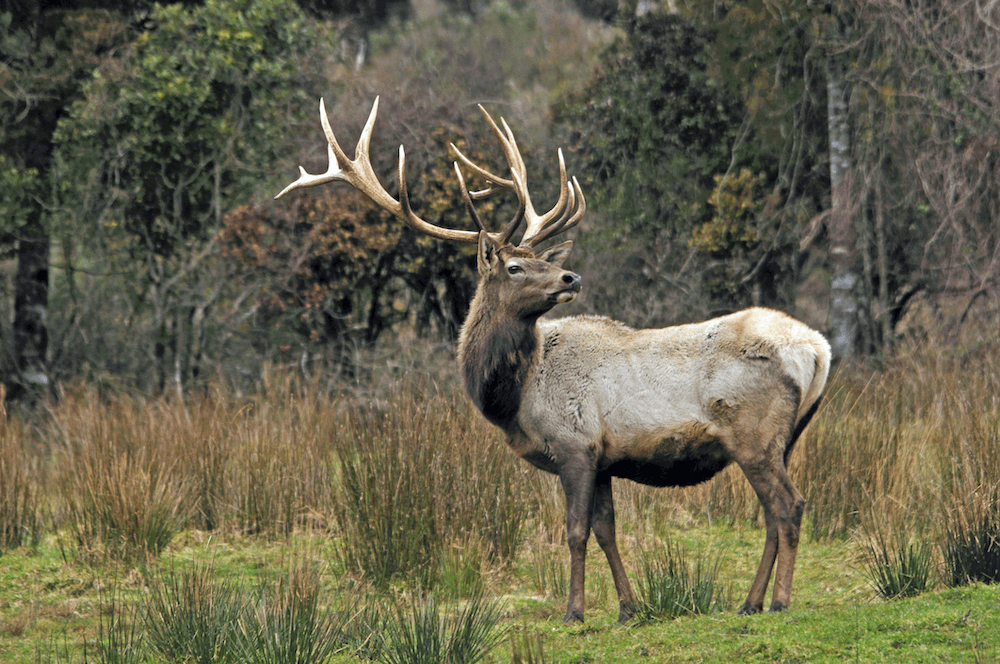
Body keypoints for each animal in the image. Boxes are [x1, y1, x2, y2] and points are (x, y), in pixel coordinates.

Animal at [276, 97, 832, 623]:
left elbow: (575, 532)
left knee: (789, 506)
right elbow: (607, 531)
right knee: (771, 514)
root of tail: (818, 349)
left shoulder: (574, 444)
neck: (515, 397)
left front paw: (574, 611)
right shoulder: (603, 458)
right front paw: (629, 609)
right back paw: (750, 602)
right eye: (517, 266)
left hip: (752, 432)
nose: (571, 277)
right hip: (782, 439)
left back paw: (779, 601)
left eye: (541, 260)